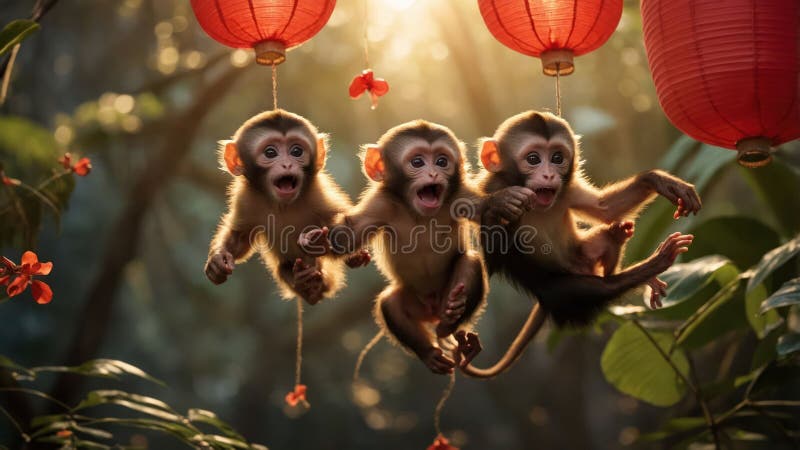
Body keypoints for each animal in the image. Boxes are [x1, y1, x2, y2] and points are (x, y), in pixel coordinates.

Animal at [204, 109, 369, 304]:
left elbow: (343, 231)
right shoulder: (246, 199)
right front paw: (218, 261)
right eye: (270, 153)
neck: (282, 204)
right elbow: (240, 237)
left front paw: (317, 241)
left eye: (296, 151)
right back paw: (305, 282)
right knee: (285, 269)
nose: (287, 164)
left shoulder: (319, 193)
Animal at [298, 120, 488, 375]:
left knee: (470, 263)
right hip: (413, 301)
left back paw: (452, 315)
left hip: (446, 292)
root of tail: (432, 312)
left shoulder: (458, 194)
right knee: (390, 304)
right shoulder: (381, 204)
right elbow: (348, 236)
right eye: (417, 162)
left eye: (442, 161)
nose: (434, 173)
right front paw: (317, 240)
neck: (416, 211)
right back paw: (430, 353)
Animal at [457, 110, 700, 379]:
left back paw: (630, 263)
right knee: (592, 290)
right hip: (554, 287)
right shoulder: (489, 190)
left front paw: (660, 181)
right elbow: (491, 255)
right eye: (533, 159)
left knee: (608, 239)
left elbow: (605, 209)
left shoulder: (568, 188)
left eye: (557, 158)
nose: (549, 175)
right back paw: (651, 265)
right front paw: (505, 205)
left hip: (583, 256)